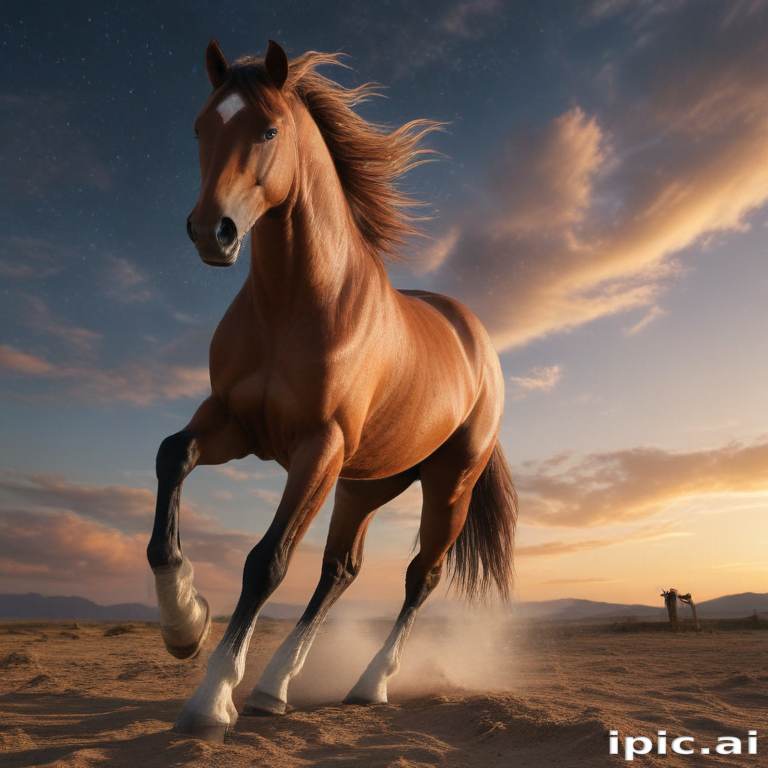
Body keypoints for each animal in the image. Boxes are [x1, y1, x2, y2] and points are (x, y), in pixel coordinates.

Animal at [147, 38, 518, 743]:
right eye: (201, 127)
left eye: (269, 129)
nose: (212, 232)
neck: (295, 303)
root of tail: (475, 336)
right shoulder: (233, 421)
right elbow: (170, 457)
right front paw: (185, 622)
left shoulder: (316, 447)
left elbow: (266, 561)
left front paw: (210, 698)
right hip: (363, 483)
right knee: (340, 569)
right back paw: (273, 689)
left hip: (444, 484)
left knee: (419, 578)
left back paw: (369, 685)